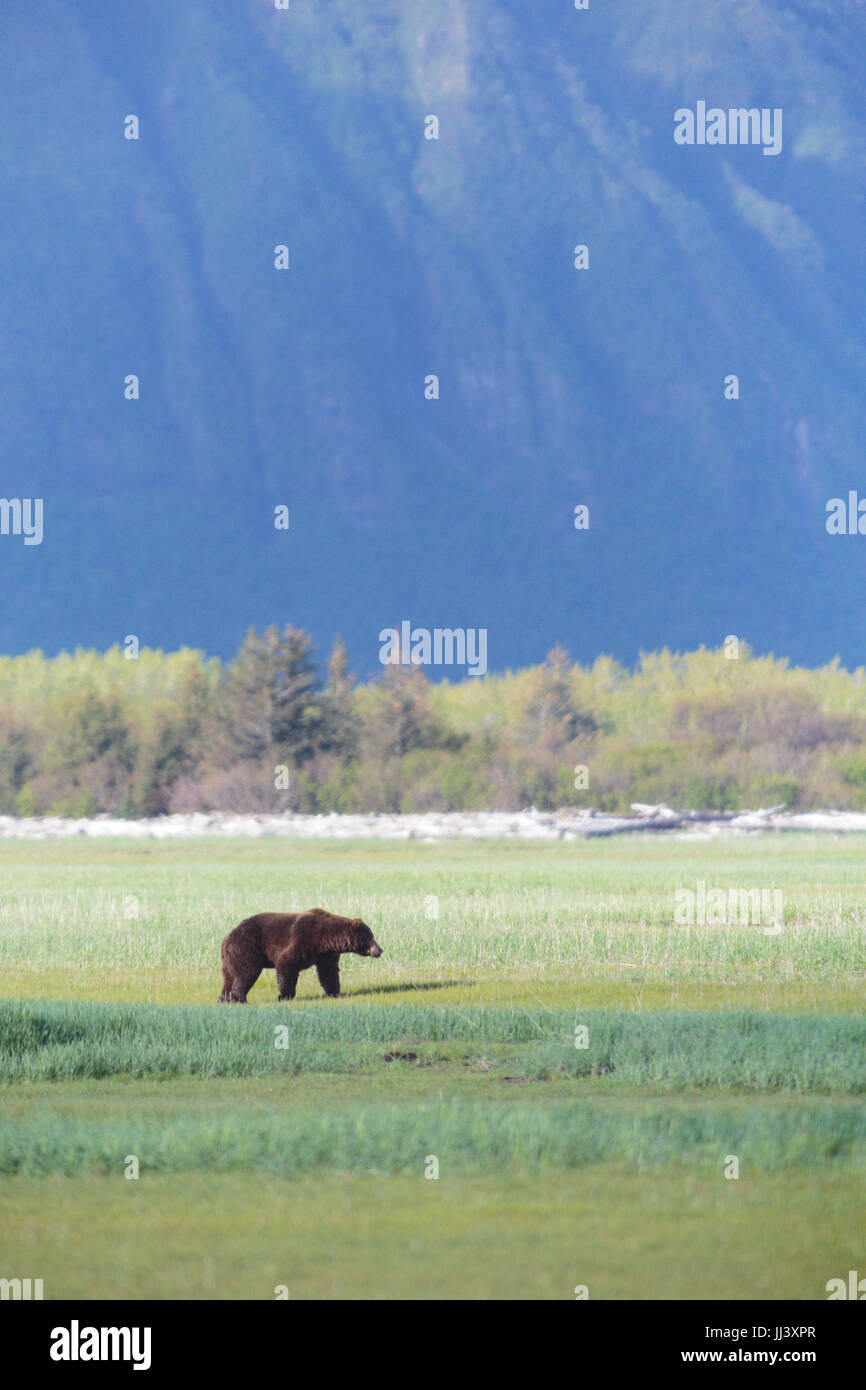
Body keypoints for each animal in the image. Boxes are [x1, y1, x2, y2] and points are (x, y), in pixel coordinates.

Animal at [218, 908, 383, 1003]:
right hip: (246, 948)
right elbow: (286, 963)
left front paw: (336, 993)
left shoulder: (325, 955)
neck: (327, 938)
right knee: (246, 972)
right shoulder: (303, 938)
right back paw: (239, 998)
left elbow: (329, 974)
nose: (380, 950)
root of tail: (225, 938)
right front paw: (283, 996)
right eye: (370, 936)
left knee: (229, 976)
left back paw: (225, 998)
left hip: (229, 959)